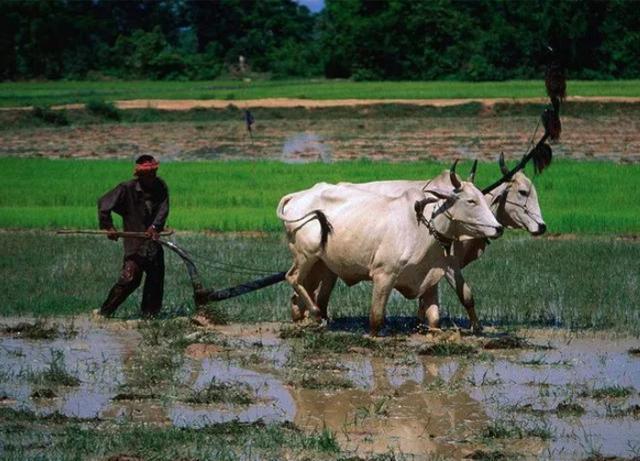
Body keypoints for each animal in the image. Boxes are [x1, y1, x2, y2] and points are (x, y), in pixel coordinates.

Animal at [277, 162, 503, 336]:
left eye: (482, 197)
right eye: (471, 201)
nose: (498, 228)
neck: (424, 226)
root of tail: (296, 196)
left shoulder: (431, 277)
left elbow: (439, 315)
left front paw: (476, 327)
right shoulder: (383, 274)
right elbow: (376, 318)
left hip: (323, 266)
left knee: (304, 293)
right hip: (306, 255)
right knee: (293, 277)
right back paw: (315, 313)